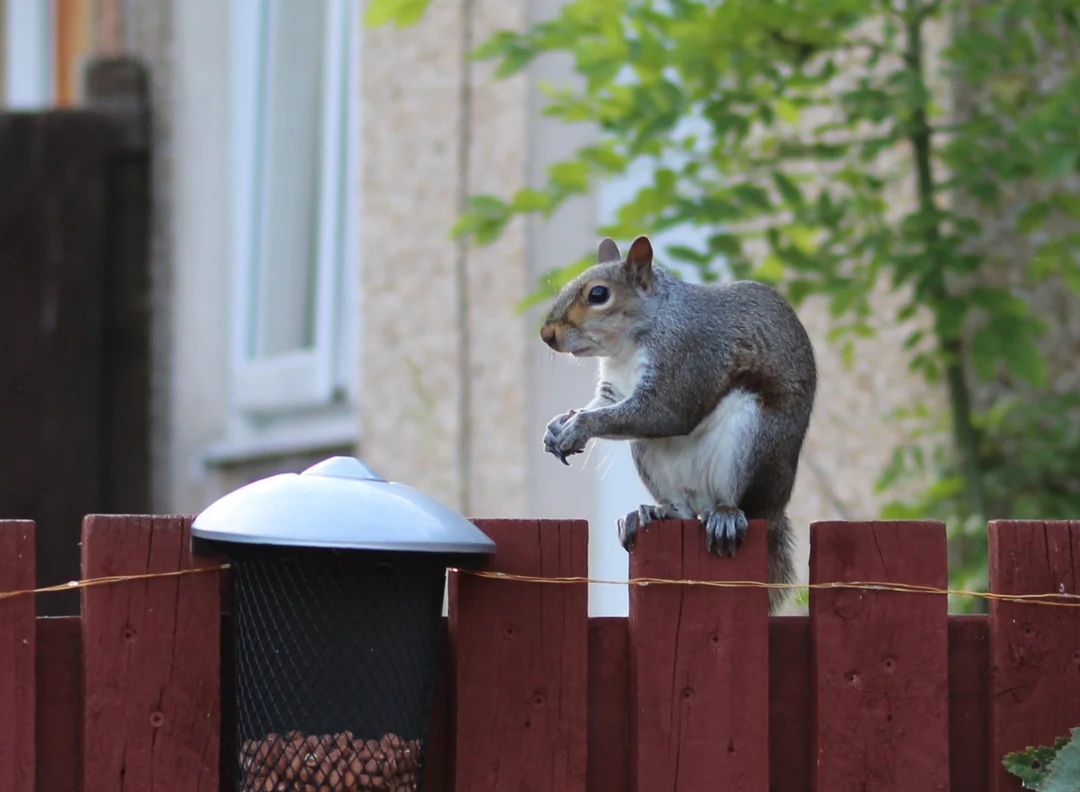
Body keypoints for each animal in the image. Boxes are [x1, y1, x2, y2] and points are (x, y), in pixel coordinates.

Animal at [539, 235, 817, 612]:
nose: (546, 334)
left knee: (739, 503)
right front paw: (557, 426)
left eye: (598, 294)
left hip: (752, 439)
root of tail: (775, 510)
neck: (627, 345)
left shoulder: (687, 356)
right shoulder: (614, 390)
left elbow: (666, 411)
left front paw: (579, 426)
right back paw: (655, 514)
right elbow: (605, 405)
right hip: (652, 461)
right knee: (684, 512)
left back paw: (726, 515)